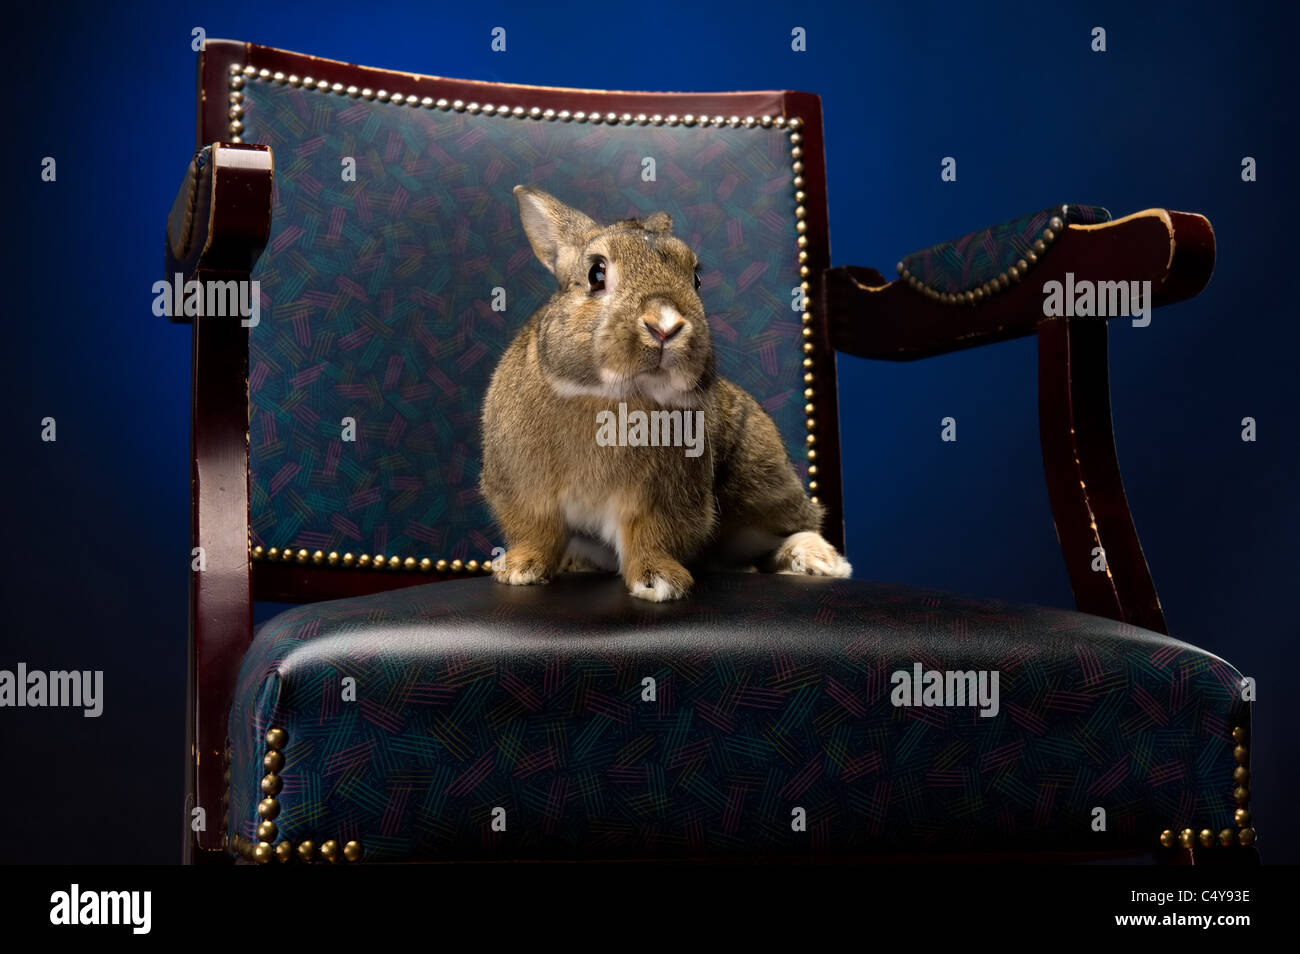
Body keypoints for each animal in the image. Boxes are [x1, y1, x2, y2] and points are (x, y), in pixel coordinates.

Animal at [480, 185, 851, 602]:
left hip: (763, 479)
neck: (614, 397)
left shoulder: (660, 501)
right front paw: (520, 570)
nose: (666, 325)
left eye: (696, 278)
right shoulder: (527, 491)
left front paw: (658, 583)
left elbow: (650, 537)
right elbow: (536, 532)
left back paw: (822, 561)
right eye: (596, 273)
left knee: (783, 534)